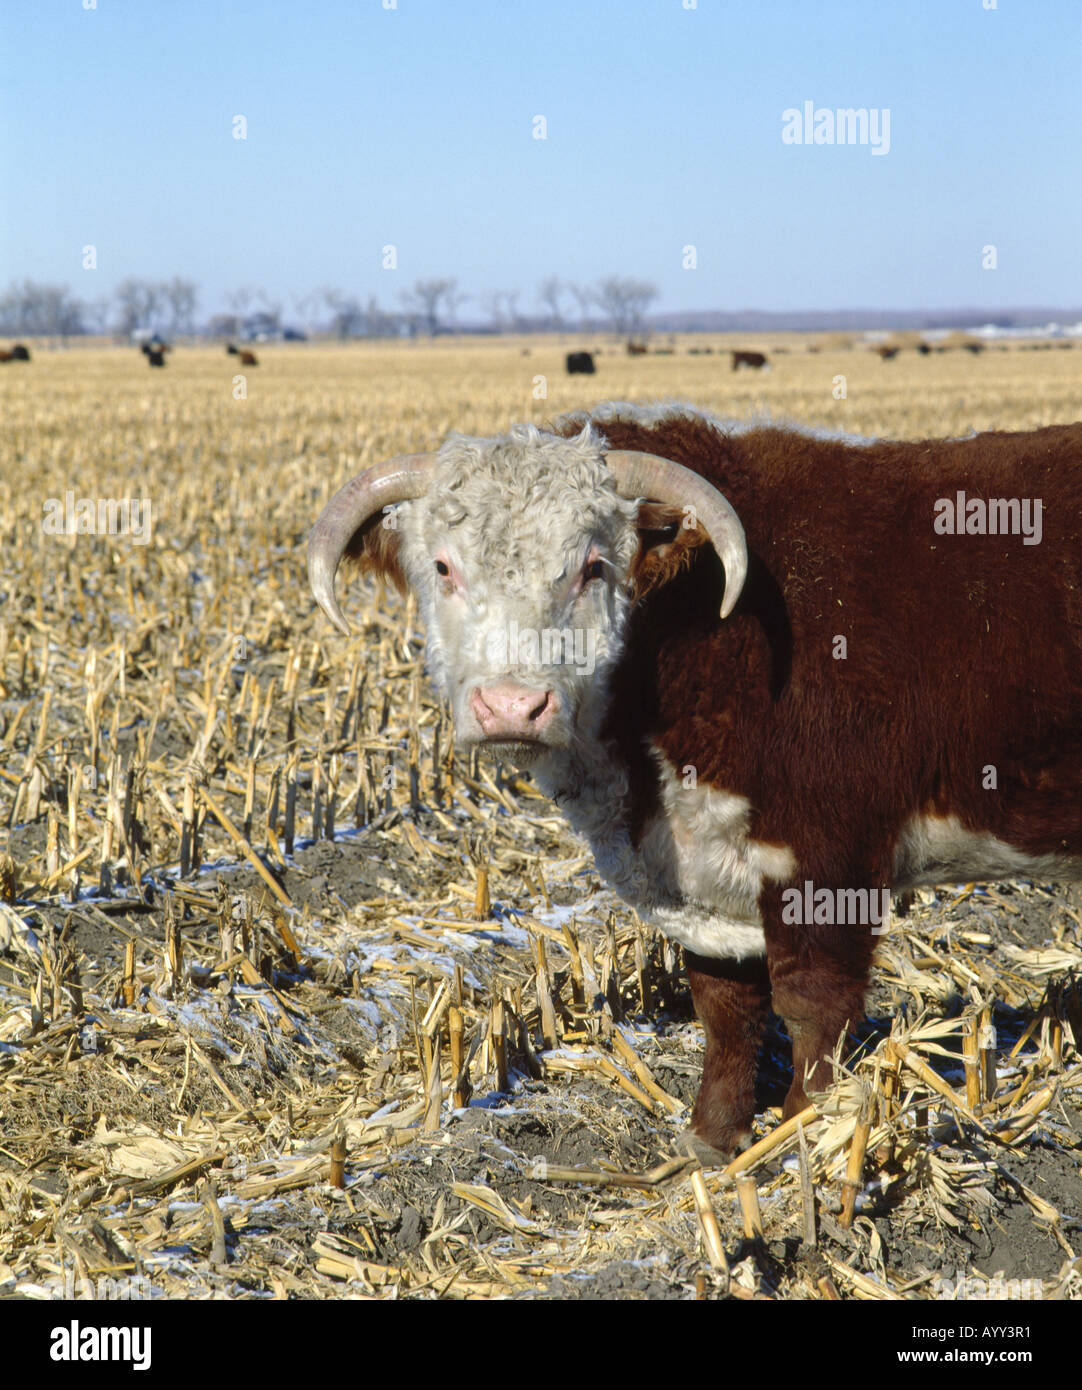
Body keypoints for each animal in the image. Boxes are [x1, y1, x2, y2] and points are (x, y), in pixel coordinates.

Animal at [308, 402, 1082, 1158]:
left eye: (593, 567)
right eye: (443, 566)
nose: (511, 706)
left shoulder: (827, 856)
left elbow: (813, 1004)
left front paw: (799, 1137)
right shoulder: (703, 876)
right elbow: (725, 1006)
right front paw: (713, 1138)